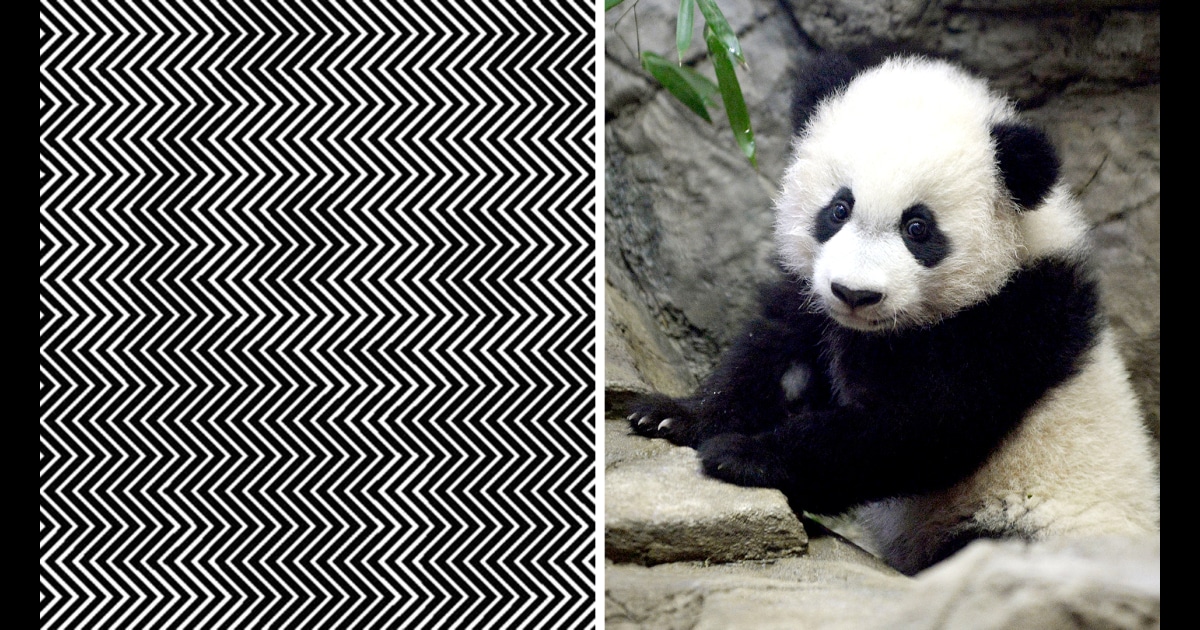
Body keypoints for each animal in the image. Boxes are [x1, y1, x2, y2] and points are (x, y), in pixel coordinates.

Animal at [627, 53, 1160, 575]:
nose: (854, 294)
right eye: (839, 208)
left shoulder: (1016, 320)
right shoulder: (815, 300)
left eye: (918, 227)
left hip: (1042, 519)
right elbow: (773, 355)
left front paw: (742, 455)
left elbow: (913, 427)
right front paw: (673, 417)